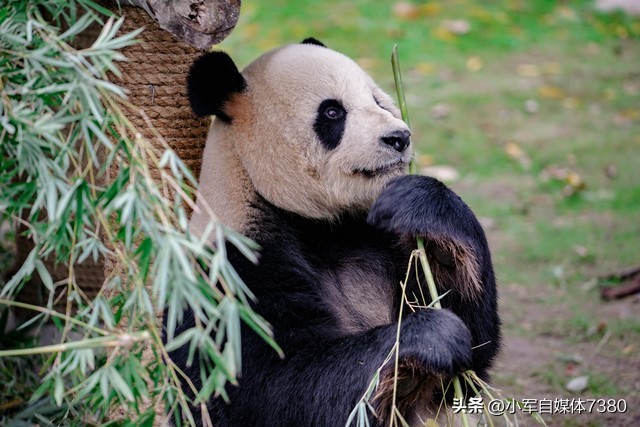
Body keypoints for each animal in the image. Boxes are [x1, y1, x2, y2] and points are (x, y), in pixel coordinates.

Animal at [168, 38, 501, 426]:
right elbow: (277, 388)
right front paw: (433, 336)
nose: (399, 137)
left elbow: (467, 364)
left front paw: (421, 209)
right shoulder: (231, 270)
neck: (317, 224)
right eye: (332, 113)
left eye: (377, 100)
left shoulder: (376, 237)